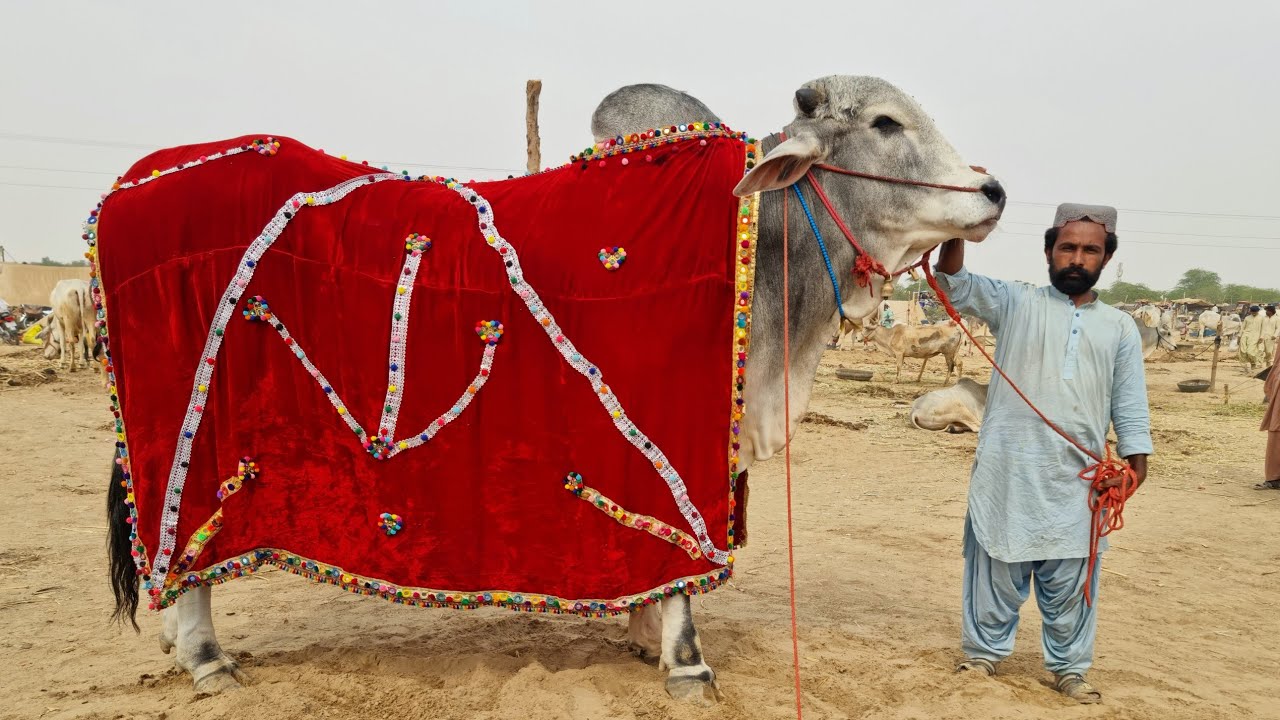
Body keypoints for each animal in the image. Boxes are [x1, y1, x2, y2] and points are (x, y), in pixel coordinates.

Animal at [107, 76, 1005, 702]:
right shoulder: (682, 447)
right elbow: (687, 576)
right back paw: (206, 658)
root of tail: (128, 182)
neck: (765, 247)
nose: (992, 191)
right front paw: (686, 663)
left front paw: (645, 632)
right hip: (182, 440)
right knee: (180, 548)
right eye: (885, 123)